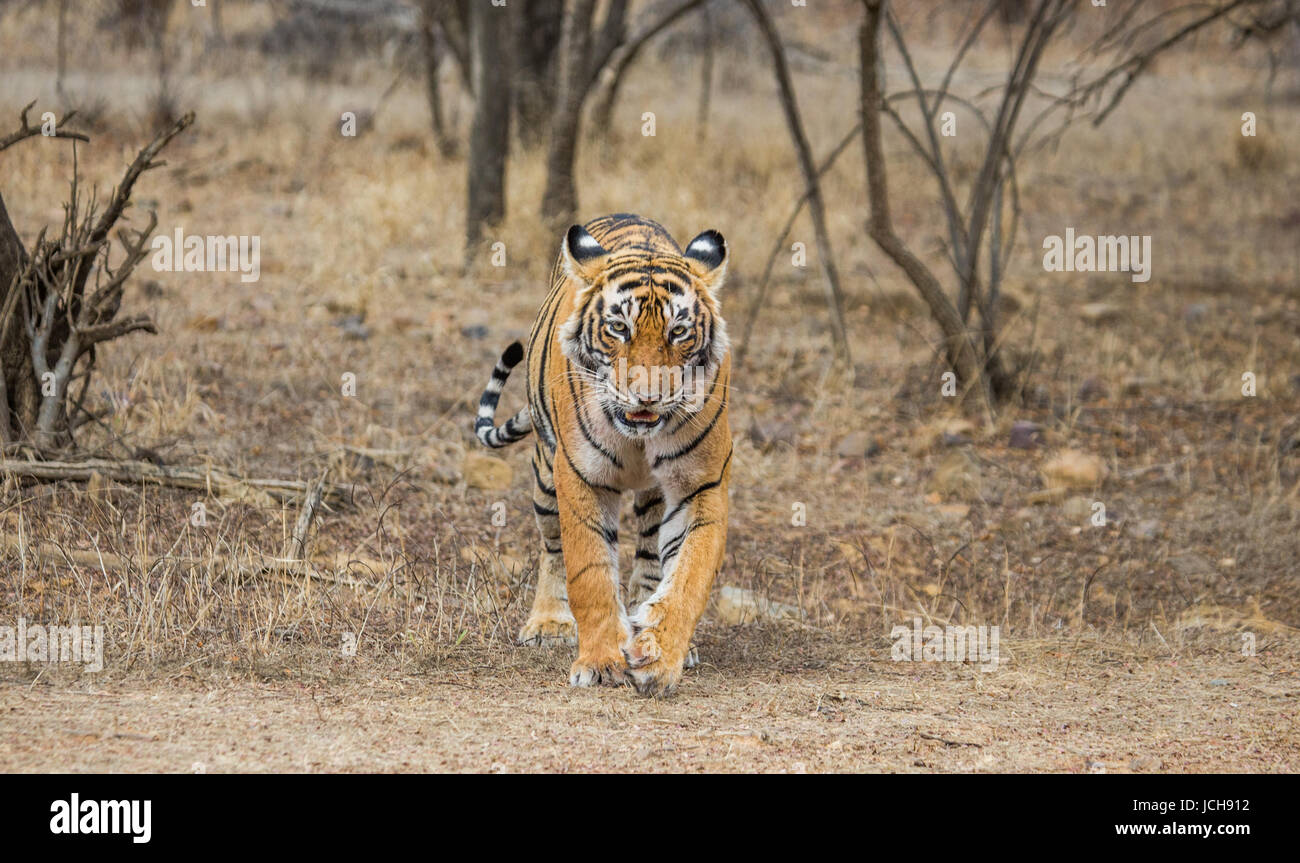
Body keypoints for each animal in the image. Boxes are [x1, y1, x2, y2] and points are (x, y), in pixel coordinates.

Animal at [474, 214, 732, 697]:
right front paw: (599, 663)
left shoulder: (701, 487)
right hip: (544, 475)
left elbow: (688, 577)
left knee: (650, 557)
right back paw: (548, 622)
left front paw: (658, 656)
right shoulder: (581, 477)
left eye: (678, 331)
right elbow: (589, 571)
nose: (647, 397)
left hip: (653, 498)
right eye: (618, 329)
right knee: (553, 549)